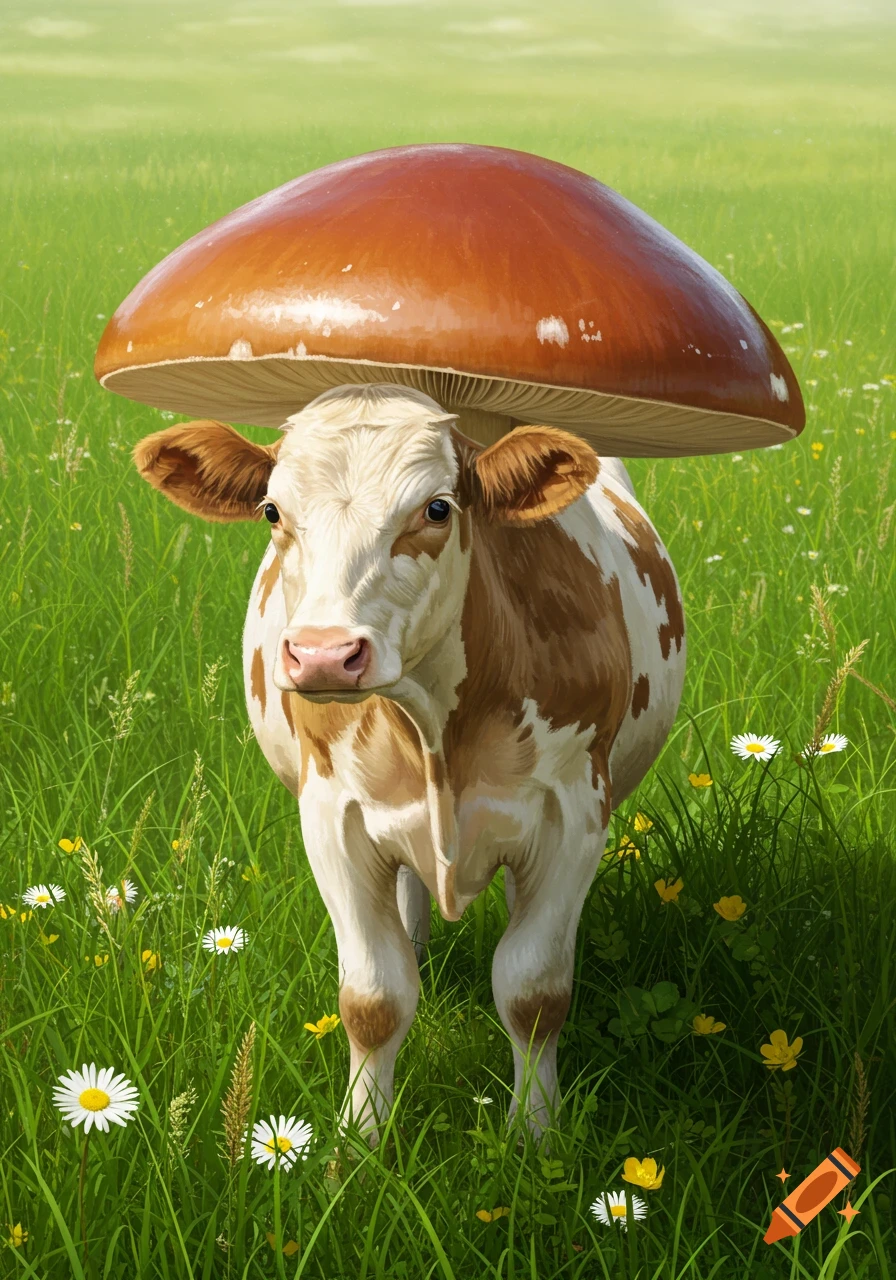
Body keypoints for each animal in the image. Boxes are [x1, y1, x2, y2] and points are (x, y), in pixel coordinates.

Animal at [133, 383, 686, 1146]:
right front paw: (360, 1140)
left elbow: (534, 991)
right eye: (272, 511)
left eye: (436, 508)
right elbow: (374, 997)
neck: (434, 724)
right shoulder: (332, 817)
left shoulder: (574, 815)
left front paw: (533, 1136)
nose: (324, 655)